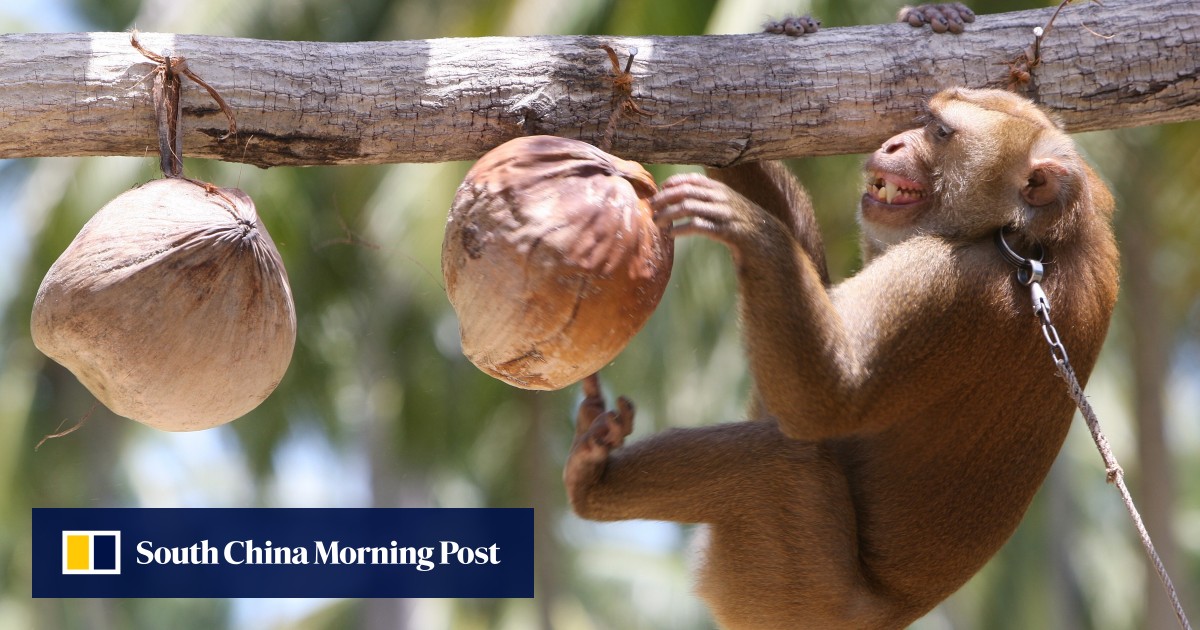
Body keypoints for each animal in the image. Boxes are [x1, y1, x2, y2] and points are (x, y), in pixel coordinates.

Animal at [563, 85, 1120, 628]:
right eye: (924, 119)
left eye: (940, 132)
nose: (893, 143)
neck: (1030, 241)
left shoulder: (947, 279)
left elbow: (827, 400)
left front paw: (751, 230)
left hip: (788, 582)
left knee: (778, 456)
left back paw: (594, 487)